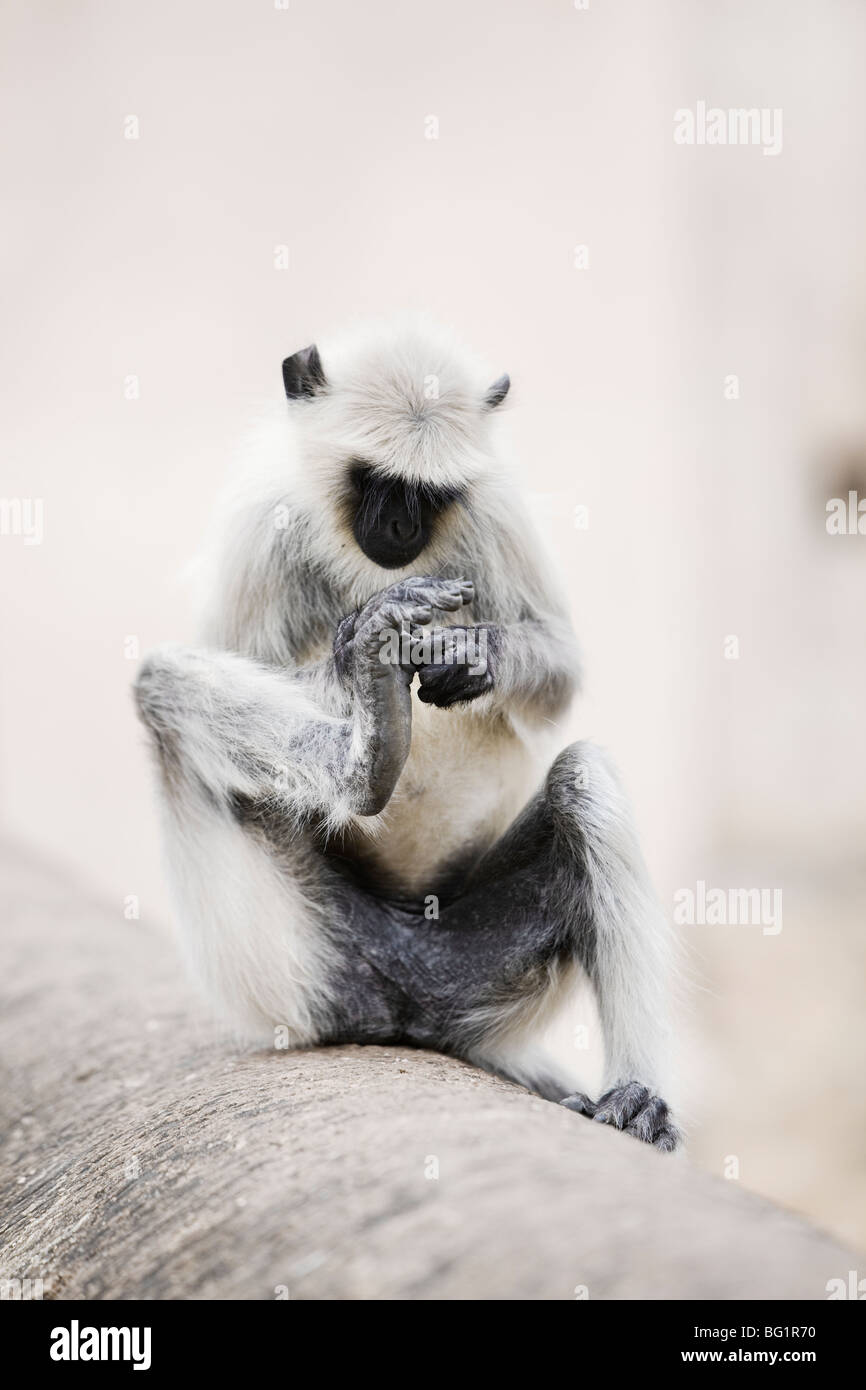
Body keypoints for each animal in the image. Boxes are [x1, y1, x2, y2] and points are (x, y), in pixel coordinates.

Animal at [134, 317, 680, 1151]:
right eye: (373, 481)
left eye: (429, 494)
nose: (398, 527)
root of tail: (410, 1004)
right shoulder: (264, 524)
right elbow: (239, 656)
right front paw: (364, 642)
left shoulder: (493, 504)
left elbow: (559, 669)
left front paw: (472, 654)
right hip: (304, 973)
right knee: (163, 680)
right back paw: (365, 751)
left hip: (479, 967)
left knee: (582, 777)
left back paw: (636, 1091)